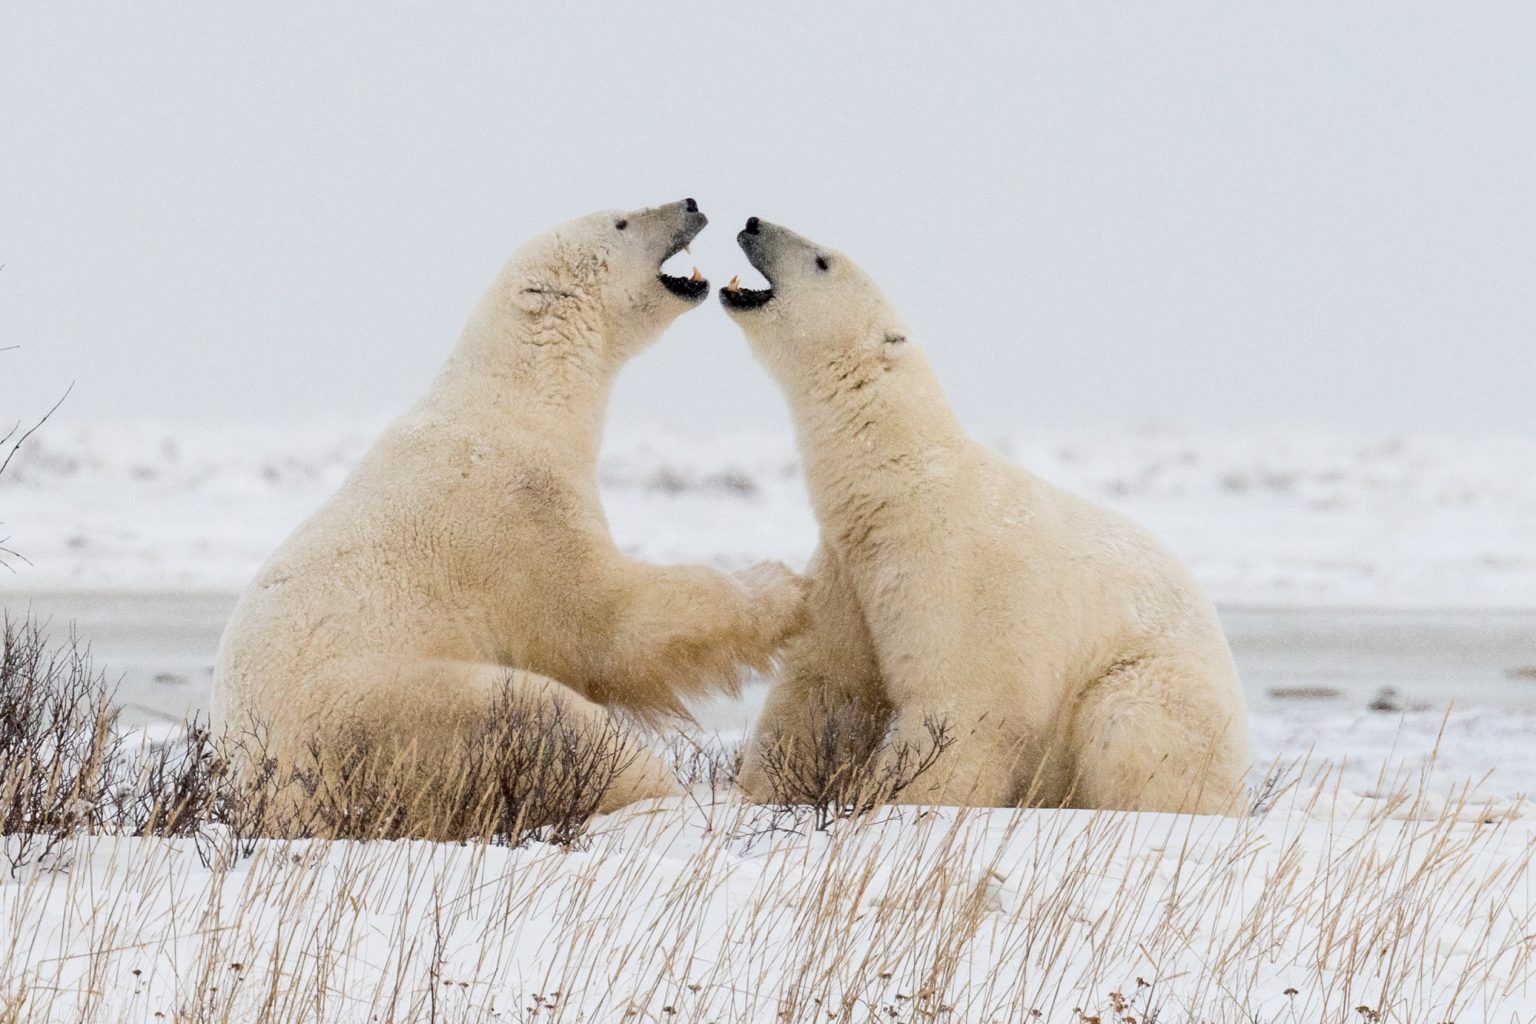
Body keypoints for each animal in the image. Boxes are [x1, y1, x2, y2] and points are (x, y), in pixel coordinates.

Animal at [211, 200, 807, 835]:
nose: (691, 203)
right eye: (621, 221)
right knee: (543, 716)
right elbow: (606, 621)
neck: (515, 404)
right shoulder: (517, 510)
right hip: (392, 712)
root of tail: (267, 798)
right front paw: (781, 585)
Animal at [720, 217, 1249, 815]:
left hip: (1160, 684)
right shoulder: (849, 575)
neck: (896, 491)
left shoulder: (958, 580)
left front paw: (890, 800)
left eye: (822, 261)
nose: (753, 222)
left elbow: (958, 709)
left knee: (1125, 725)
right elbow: (822, 687)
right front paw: (761, 790)